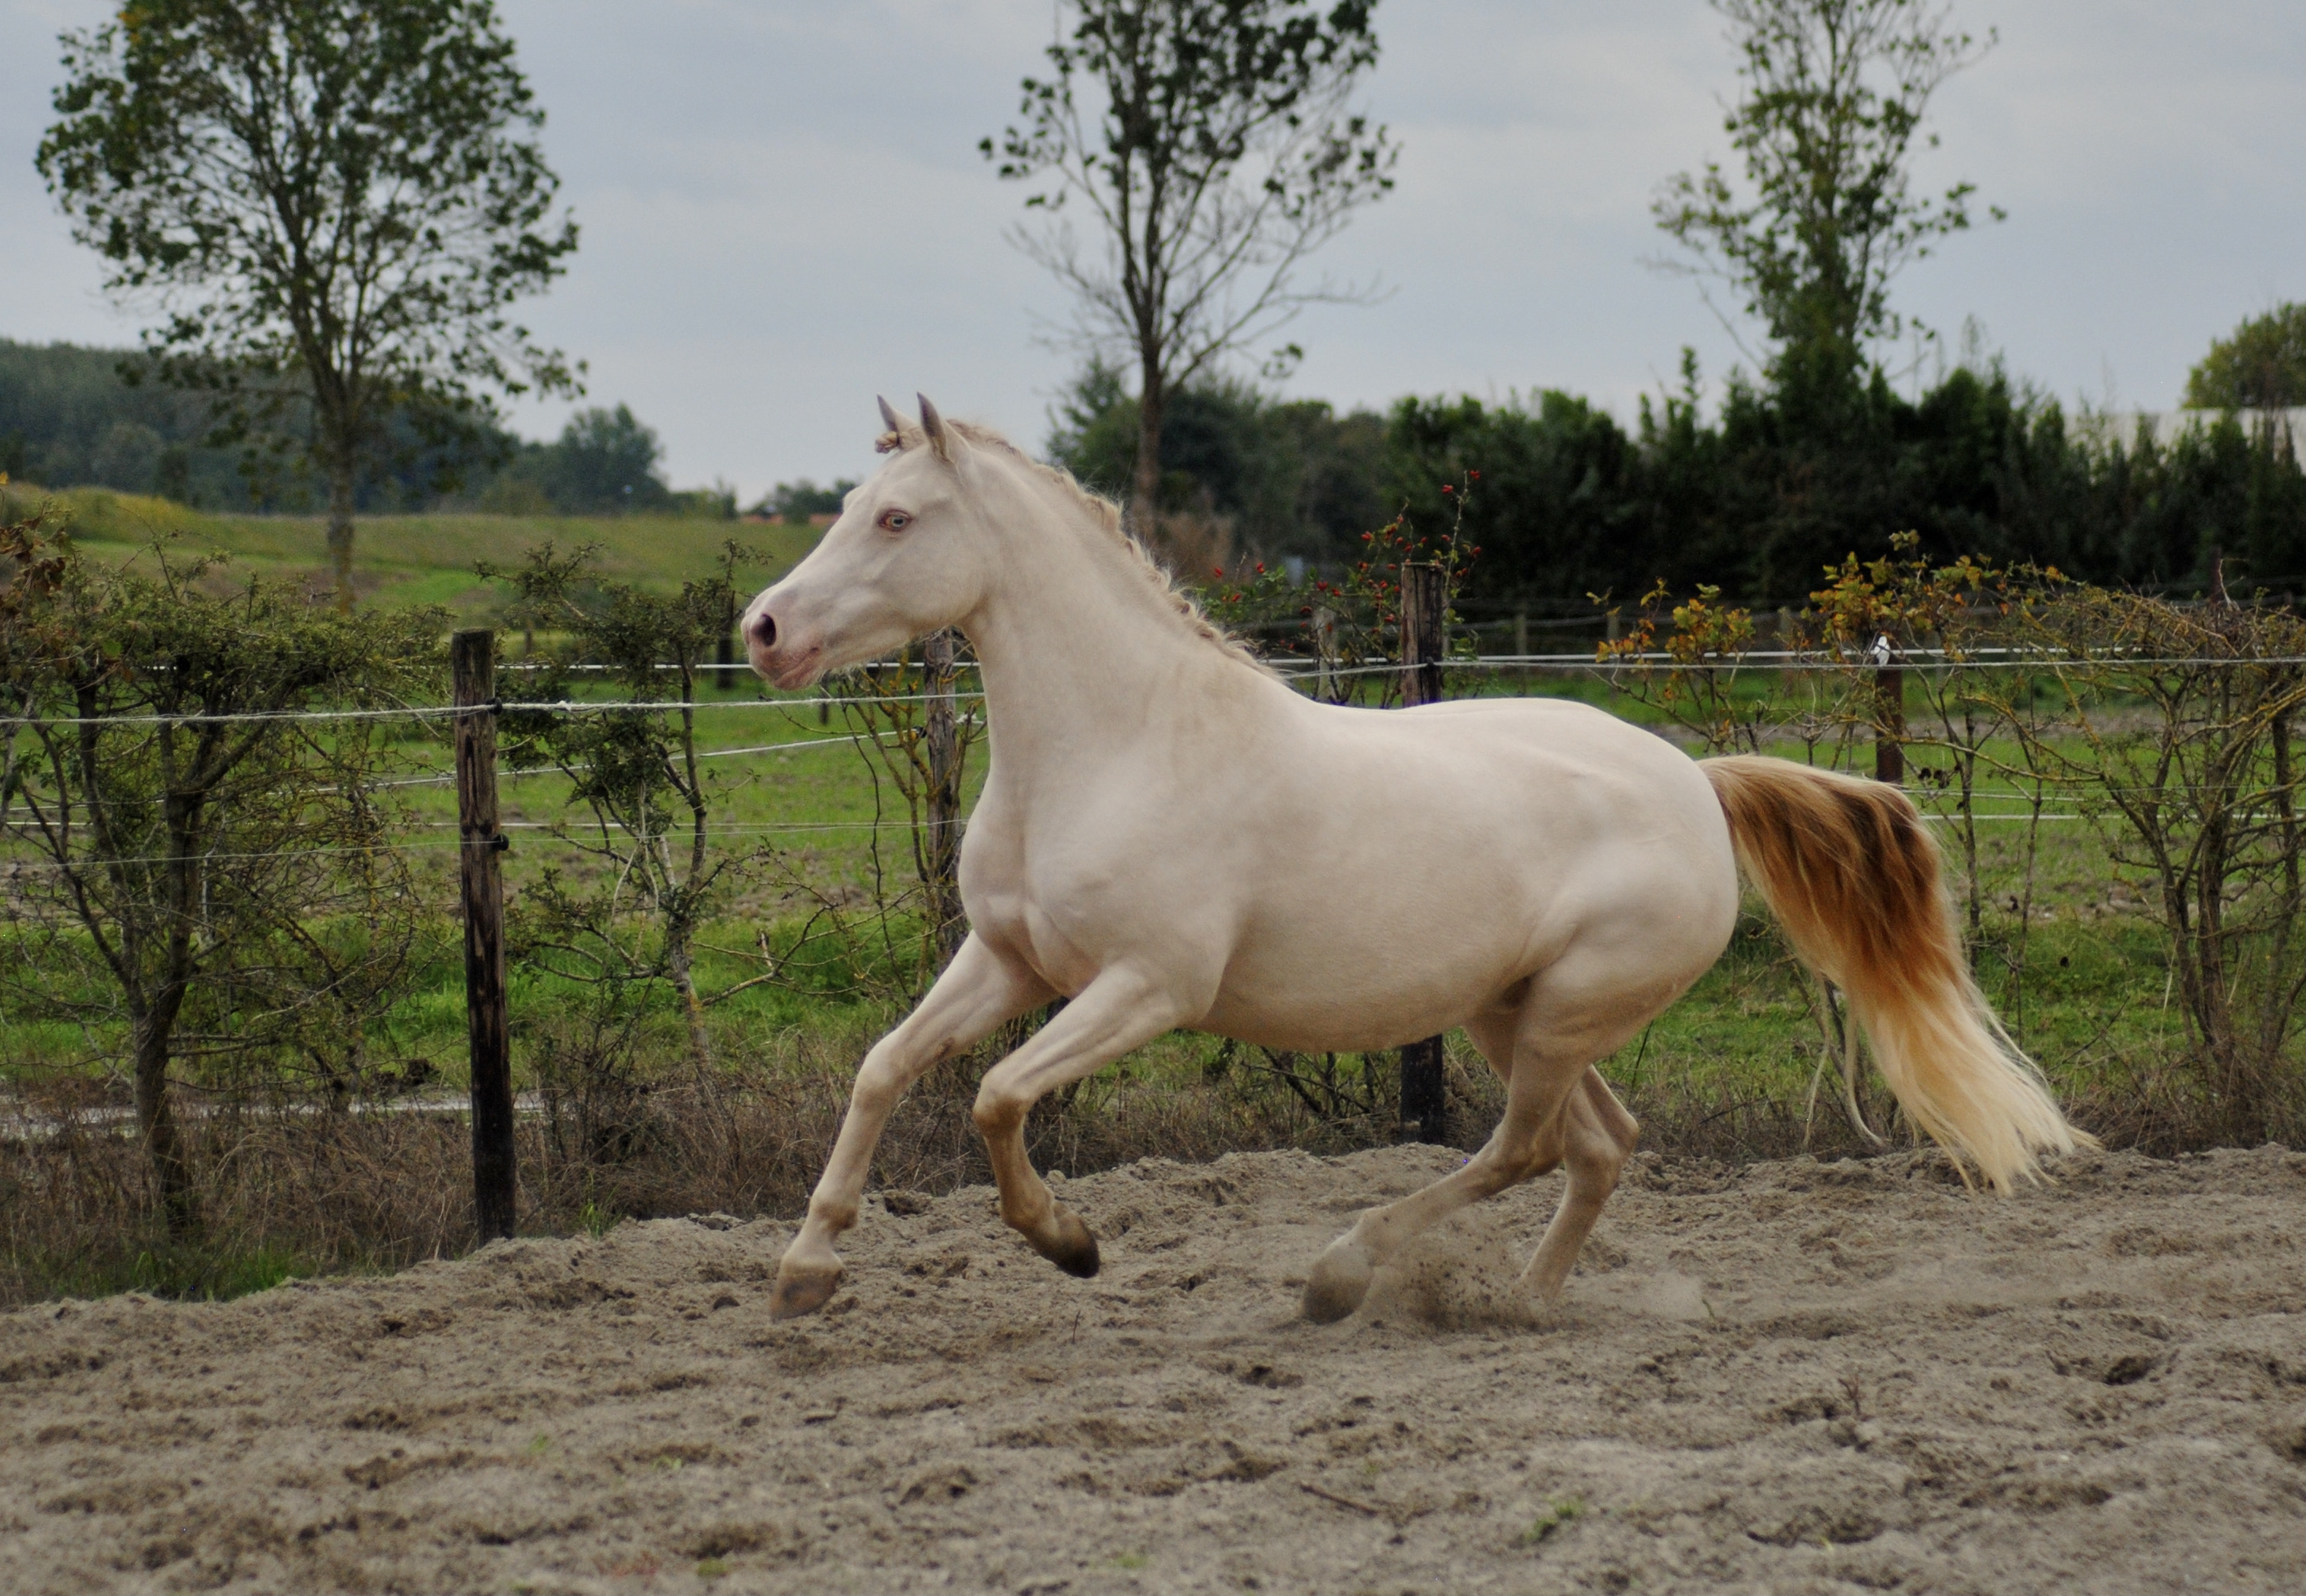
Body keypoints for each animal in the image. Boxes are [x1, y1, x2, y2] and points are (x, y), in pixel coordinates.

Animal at [741, 396, 2088, 1325]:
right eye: (845, 507)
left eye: (896, 517)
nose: (760, 629)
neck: (1116, 744)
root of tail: (1695, 786)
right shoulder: (1007, 960)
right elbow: (884, 1068)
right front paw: (805, 1269)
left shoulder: (1144, 988)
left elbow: (995, 1096)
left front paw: (1066, 1241)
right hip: (1512, 1010)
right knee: (1598, 1145)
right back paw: (1523, 1305)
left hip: (1562, 1010)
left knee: (1528, 1148)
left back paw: (1340, 1275)